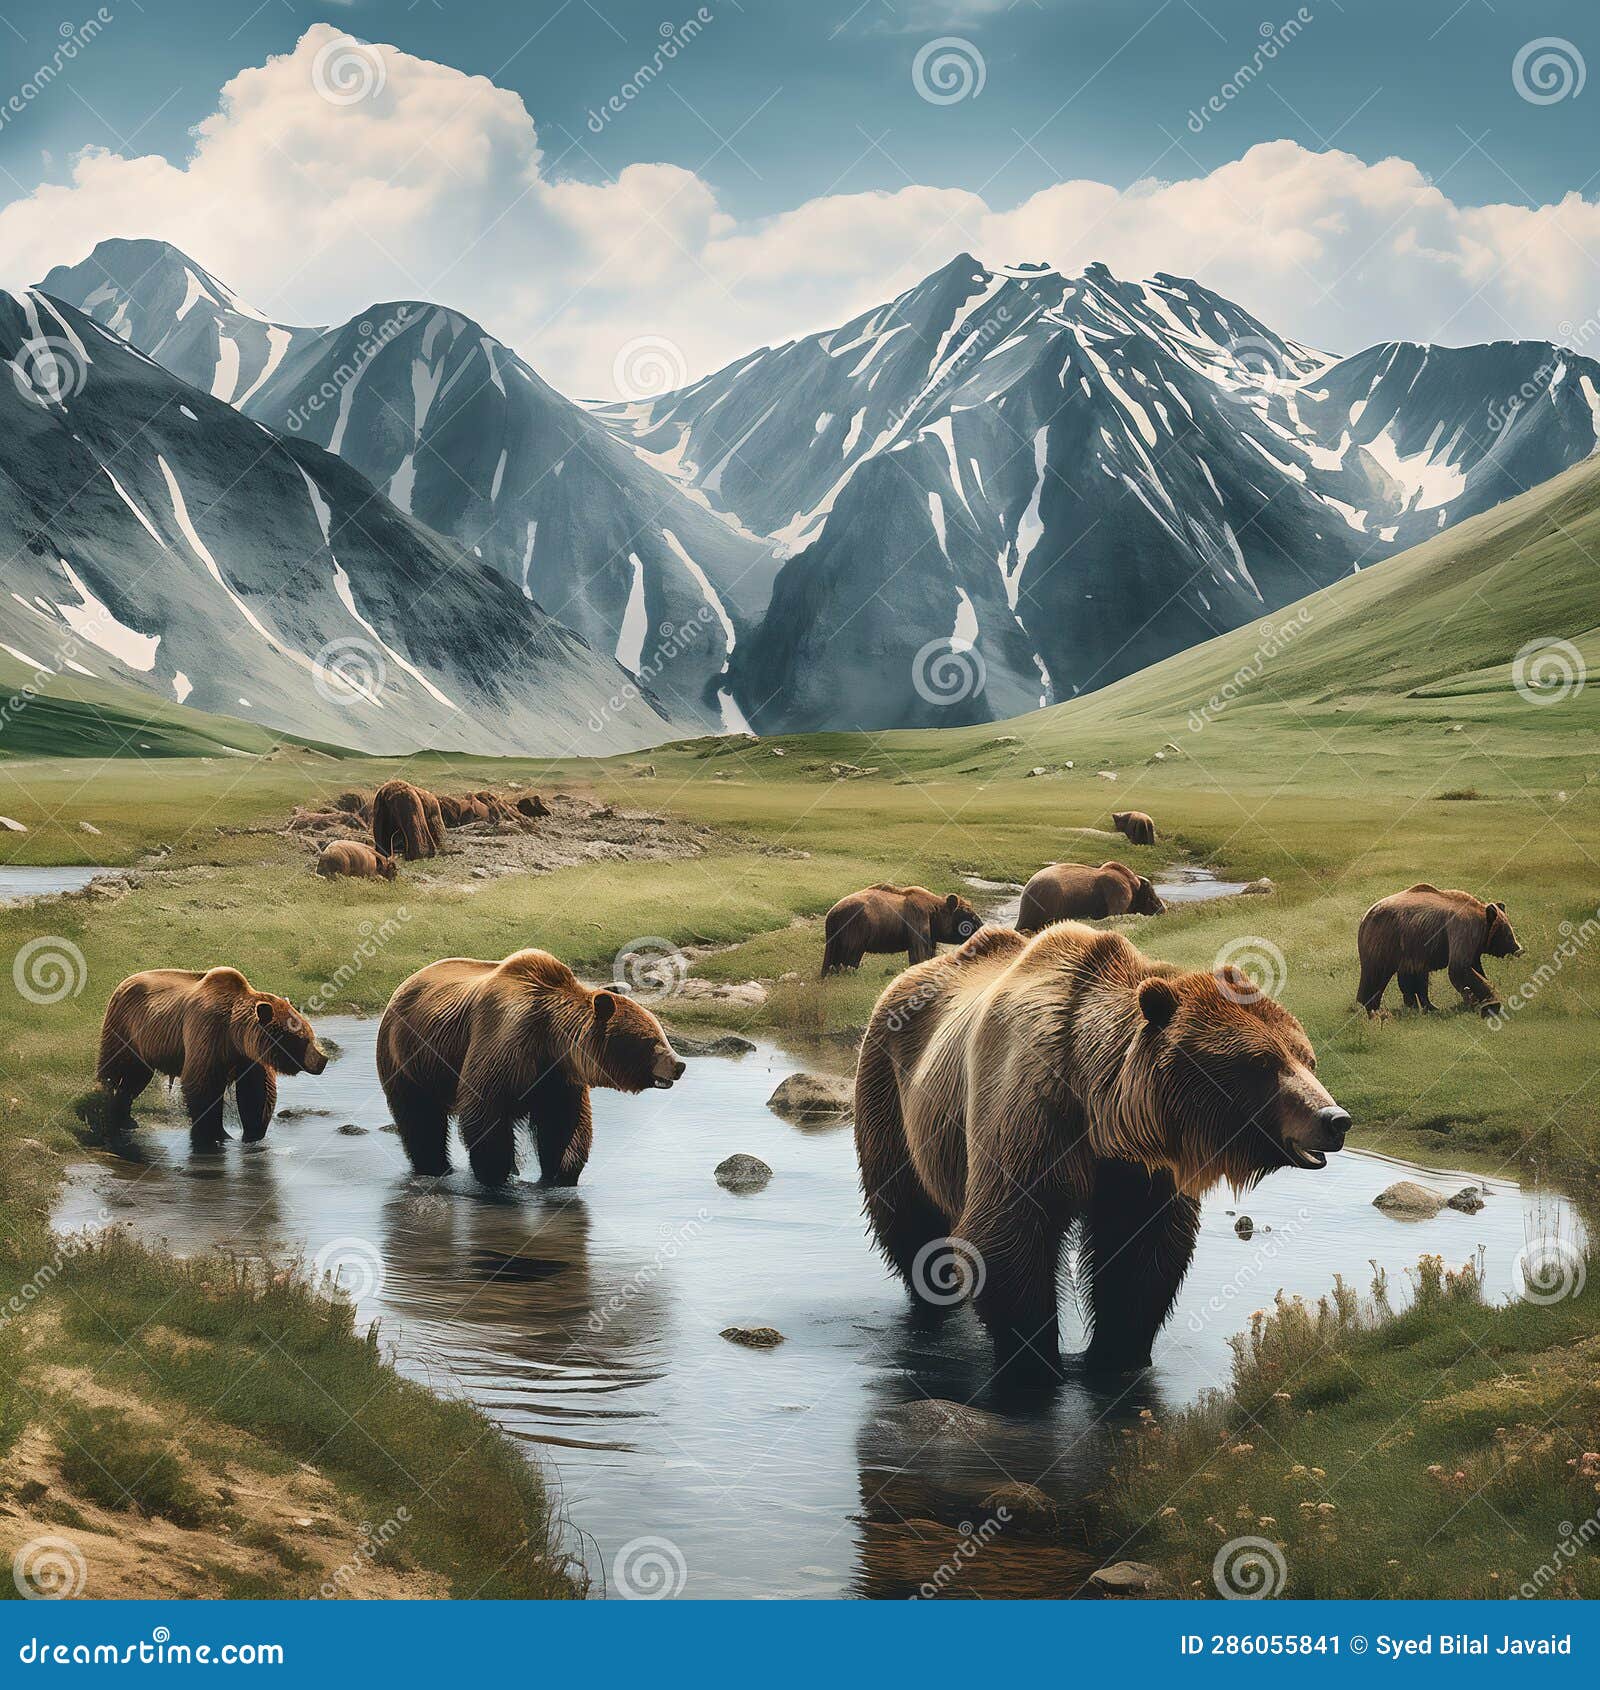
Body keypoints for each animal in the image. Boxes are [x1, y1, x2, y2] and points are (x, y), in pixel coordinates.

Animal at [96, 966, 328, 1145]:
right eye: (302, 1038)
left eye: (310, 1033)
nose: (322, 1060)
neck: (234, 1035)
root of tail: (126, 979)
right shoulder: (208, 1033)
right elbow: (201, 1084)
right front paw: (216, 1134)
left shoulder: (249, 1057)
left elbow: (257, 1092)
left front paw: (253, 1133)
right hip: (124, 1026)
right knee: (115, 1068)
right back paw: (110, 1103)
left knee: (137, 1077)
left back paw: (126, 1118)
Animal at [375, 948, 687, 1187]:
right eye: (650, 1040)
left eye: (661, 1033)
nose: (679, 1065)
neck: (549, 1040)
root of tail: (407, 981)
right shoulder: (503, 1045)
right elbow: (484, 1112)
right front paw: (497, 1176)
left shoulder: (559, 1077)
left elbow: (564, 1125)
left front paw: (560, 1174)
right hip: (406, 1058)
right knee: (420, 1117)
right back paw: (435, 1168)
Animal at [820, 885, 983, 975]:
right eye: (968, 913)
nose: (981, 925)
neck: (934, 916)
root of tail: (831, 914)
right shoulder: (917, 920)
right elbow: (919, 953)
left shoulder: (931, 935)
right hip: (857, 930)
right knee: (850, 957)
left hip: (835, 939)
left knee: (831, 961)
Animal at [853, 922, 1349, 1383]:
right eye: (1263, 1062)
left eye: (1306, 1057)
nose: (1334, 1118)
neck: (1096, 1105)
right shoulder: (1031, 1119)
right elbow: (1008, 1235)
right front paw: (1034, 1366)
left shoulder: (1142, 1170)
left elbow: (1142, 1256)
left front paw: (1117, 1357)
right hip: (891, 1096)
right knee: (908, 1218)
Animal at [1356, 884, 1522, 1016]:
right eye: (1508, 934)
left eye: (1510, 929)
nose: (1519, 948)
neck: (1481, 926)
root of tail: (1365, 917)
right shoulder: (1462, 929)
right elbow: (1459, 968)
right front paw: (1491, 1003)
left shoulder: (1474, 947)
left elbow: (1475, 968)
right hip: (1384, 940)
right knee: (1375, 975)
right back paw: (1371, 1009)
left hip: (1411, 946)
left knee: (1414, 977)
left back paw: (1426, 1007)